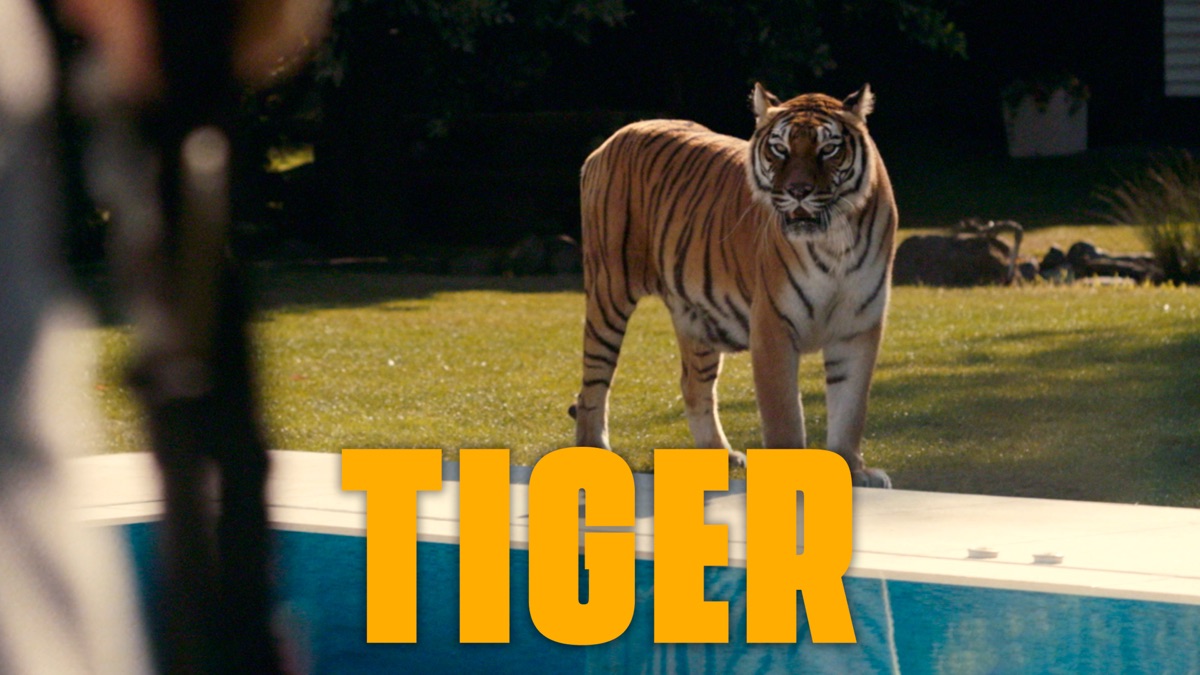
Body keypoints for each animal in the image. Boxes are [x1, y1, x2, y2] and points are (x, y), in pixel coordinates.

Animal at [569, 83, 897, 487]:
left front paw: (853, 468)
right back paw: (593, 449)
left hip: (699, 316)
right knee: (592, 384)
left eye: (828, 149)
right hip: (609, 291)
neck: (834, 241)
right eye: (780, 149)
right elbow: (784, 413)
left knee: (693, 386)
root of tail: (615, 136)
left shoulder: (858, 326)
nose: (799, 190)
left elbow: (850, 407)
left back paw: (720, 454)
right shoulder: (773, 326)